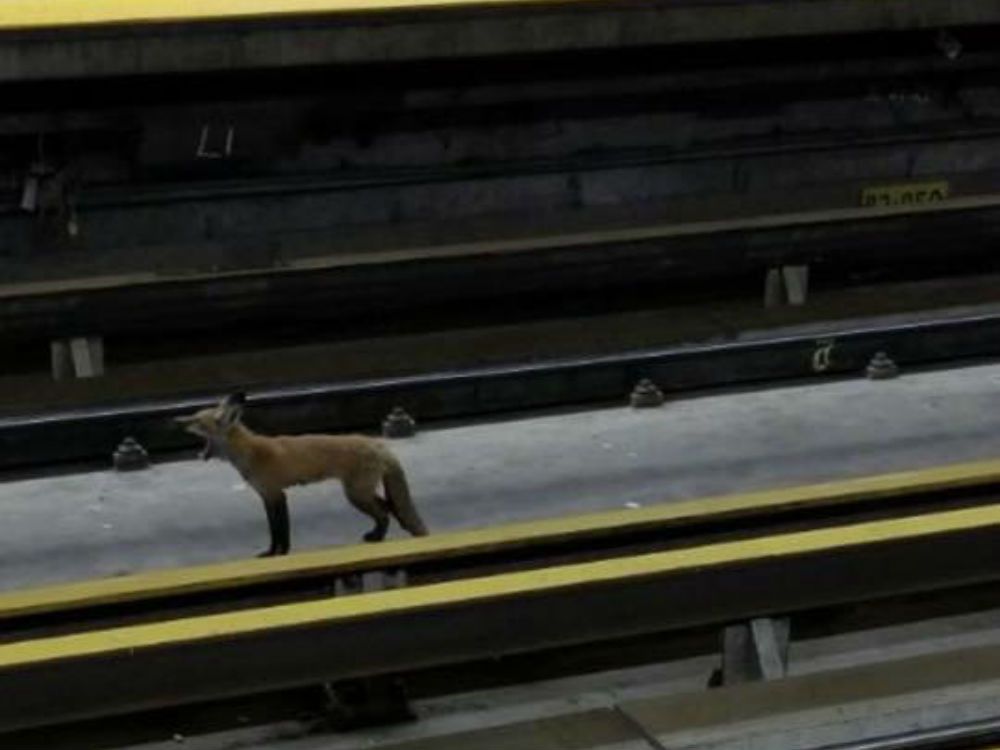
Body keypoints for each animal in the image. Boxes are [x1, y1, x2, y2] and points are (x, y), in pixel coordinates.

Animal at [174, 392, 428, 557]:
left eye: (197, 421)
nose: (177, 422)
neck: (250, 453)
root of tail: (378, 444)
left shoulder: (276, 494)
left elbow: (281, 530)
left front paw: (279, 553)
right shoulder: (266, 496)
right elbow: (273, 529)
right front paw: (272, 551)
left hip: (356, 495)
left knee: (385, 512)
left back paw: (377, 538)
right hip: (360, 492)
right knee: (389, 509)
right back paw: (377, 536)